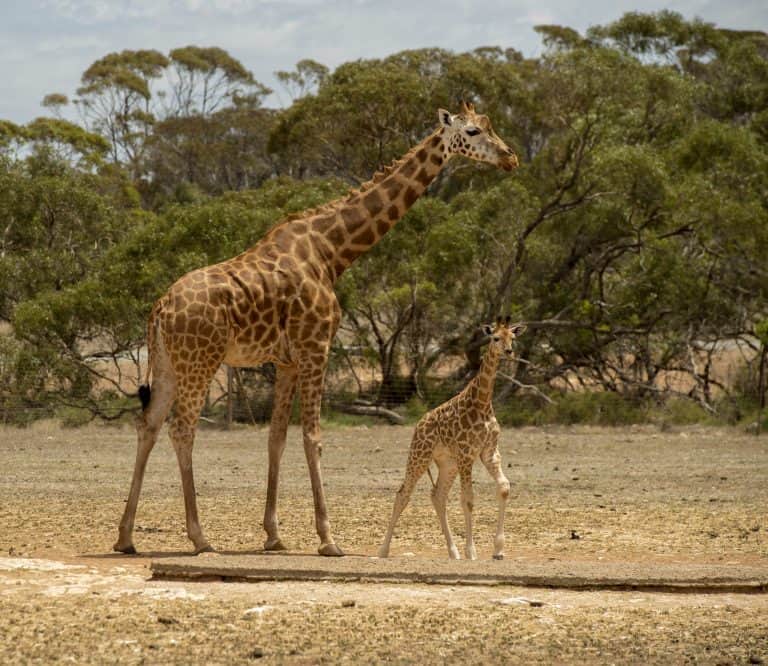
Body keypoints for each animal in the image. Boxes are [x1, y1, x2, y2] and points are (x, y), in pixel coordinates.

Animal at [378, 317, 526, 561]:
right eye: (495, 338)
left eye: (512, 337)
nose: (508, 351)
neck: (483, 403)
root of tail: (418, 424)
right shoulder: (467, 454)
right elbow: (468, 500)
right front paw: (472, 552)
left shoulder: (489, 452)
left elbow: (504, 487)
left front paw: (498, 550)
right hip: (419, 455)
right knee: (403, 494)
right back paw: (383, 550)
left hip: (448, 463)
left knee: (438, 496)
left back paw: (453, 551)